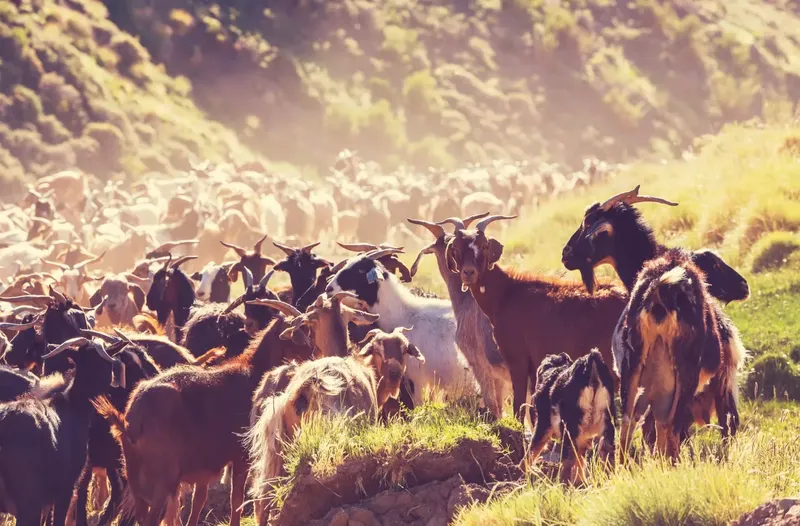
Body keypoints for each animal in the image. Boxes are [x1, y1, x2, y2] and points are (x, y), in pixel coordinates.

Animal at [445, 215, 628, 424]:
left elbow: (519, 405)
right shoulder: (534, 365)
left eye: (483, 246)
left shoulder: (517, 358)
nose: (469, 273)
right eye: (456, 247)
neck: (507, 292)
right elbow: (531, 408)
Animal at [528, 350, 616, 485]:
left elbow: (533, 448)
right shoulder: (583, 438)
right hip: (607, 425)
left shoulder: (544, 424)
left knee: (567, 460)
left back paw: (563, 485)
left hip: (568, 429)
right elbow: (580, 460)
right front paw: (581, 483)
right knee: (607, 454)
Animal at [561, 185, 749, 441]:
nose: (565, 253)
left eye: (587, 223)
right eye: (715, 265)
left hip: (634, 370)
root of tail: (659, 291)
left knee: (632, 424)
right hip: (685, 375)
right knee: (676, 425)